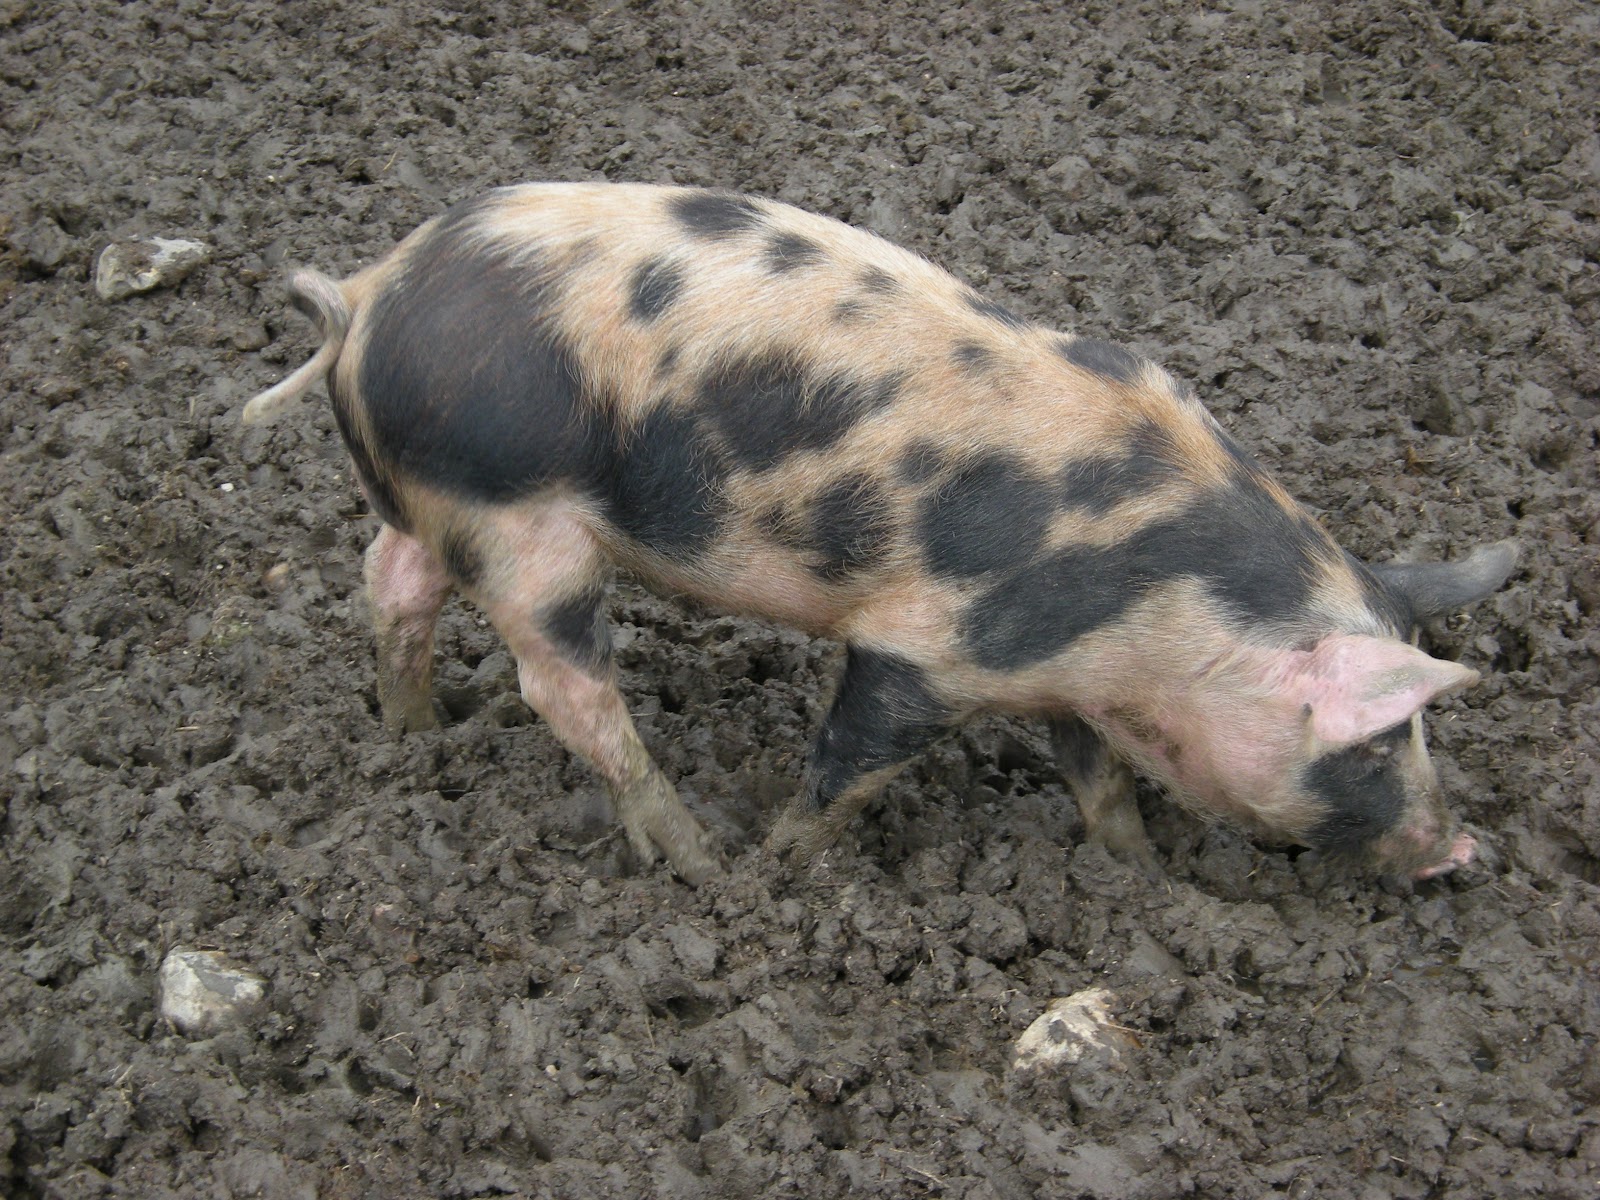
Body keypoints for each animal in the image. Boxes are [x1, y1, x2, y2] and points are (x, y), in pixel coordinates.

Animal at [242, 181, 1517, 886]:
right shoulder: (922, 648)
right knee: (564, 687)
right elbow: (847, 767)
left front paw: (1143, 877)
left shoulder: (1066, 680)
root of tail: (367, 297)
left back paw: (412, 733)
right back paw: (694, 858)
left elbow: (1096, 780)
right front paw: (777, 870)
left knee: (392, 577)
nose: (1461, 849)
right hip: (522, 527)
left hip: (434, 498)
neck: (1153, 595)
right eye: (1375, 742)